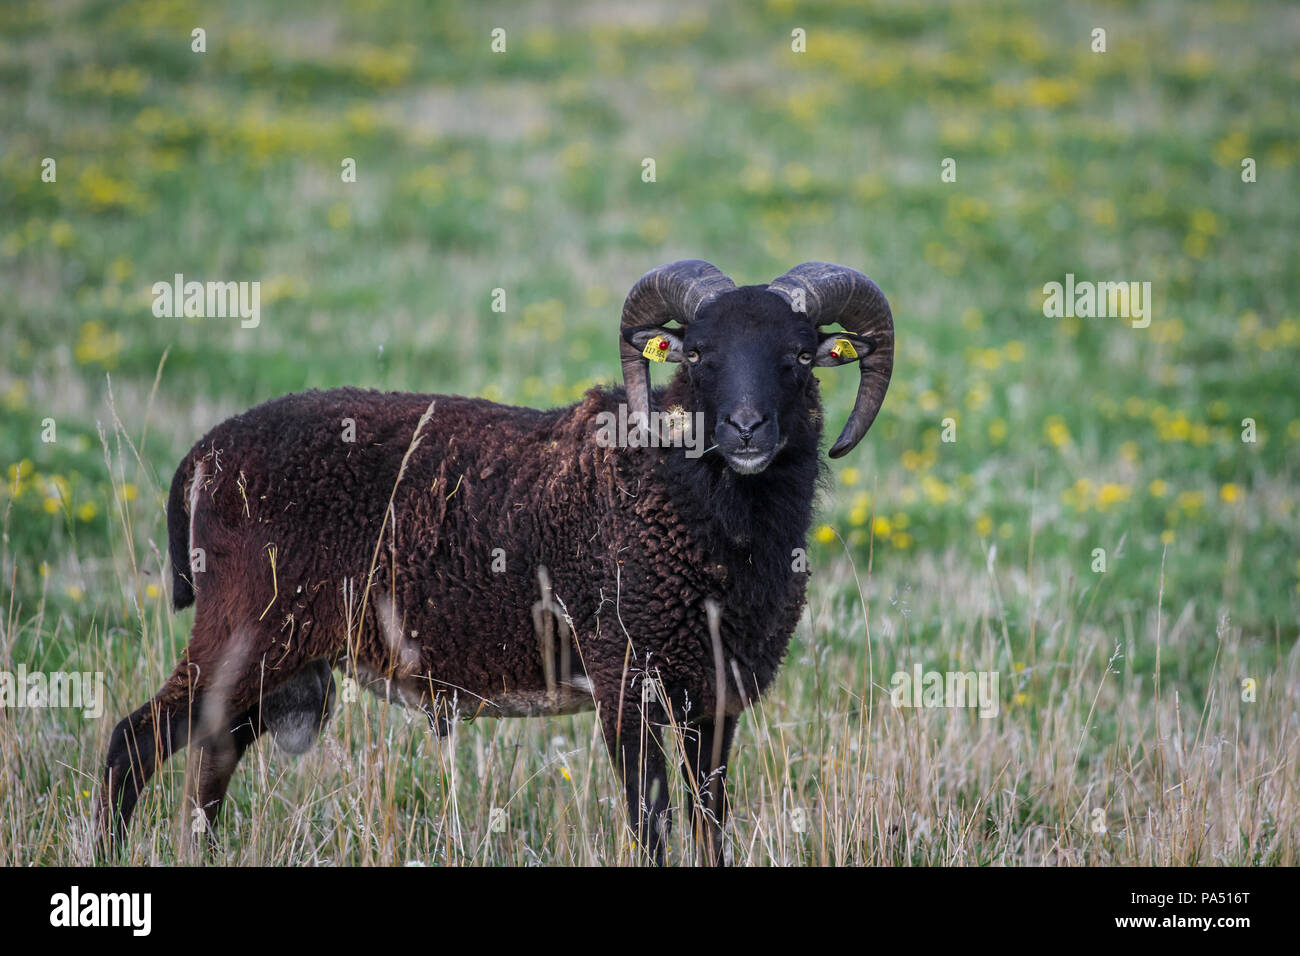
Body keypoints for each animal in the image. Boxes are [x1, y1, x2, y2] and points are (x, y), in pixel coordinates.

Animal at [96, 259, 894, 865]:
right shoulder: (624, 677)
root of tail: (205, 455)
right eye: (698, 354)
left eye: (800, 355)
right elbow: (651, 821)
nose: (746, 428)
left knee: (209, 759)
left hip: (285, 661)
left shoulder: (715, 697)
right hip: (245, 630)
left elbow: (710, 820)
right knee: (135, 742)